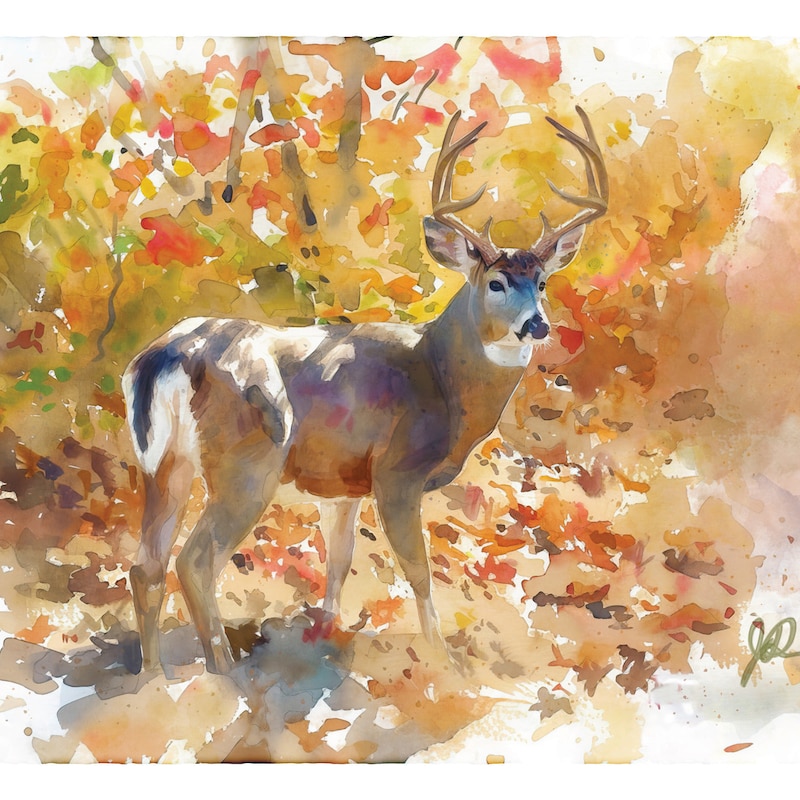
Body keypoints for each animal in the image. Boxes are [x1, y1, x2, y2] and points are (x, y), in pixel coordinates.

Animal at [121, 107, 608, 675]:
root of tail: (168, 354)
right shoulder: (396, 472)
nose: (536, 325)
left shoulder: (343, 484)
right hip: (246, 462)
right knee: (194, 560)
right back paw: (223, 668)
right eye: (496, 283)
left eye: (543, 283)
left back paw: (152, 675)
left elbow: (339, 561)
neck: (441, 379)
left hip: (165, 463)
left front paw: (325, 634)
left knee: (146, 564)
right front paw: (444, 659)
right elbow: (418, 569)